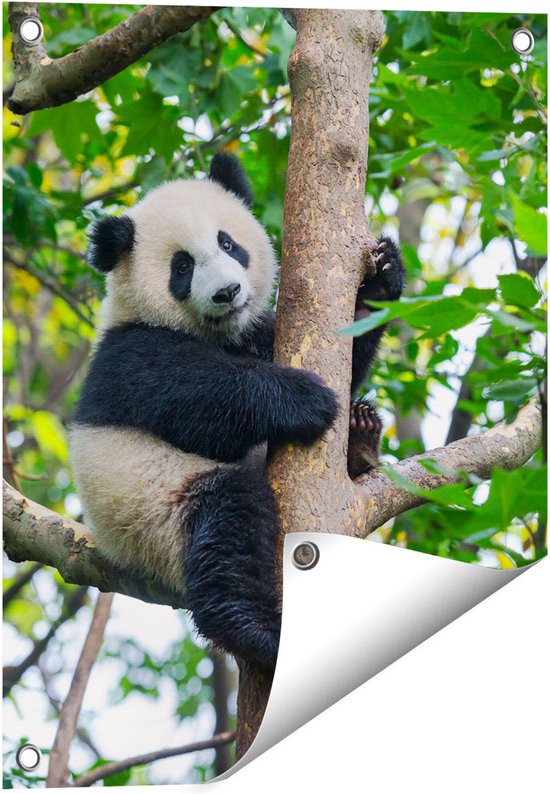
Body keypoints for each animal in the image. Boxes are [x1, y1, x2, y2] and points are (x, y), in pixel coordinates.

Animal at [69, 153, 404, 670]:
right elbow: (200, 403)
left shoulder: (256, 332)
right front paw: (305, 399)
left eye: (228, 243)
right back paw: (258, 632)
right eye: (182, 266)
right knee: (227, 525)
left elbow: (350, 350)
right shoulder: (130, 356)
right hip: (154, 512)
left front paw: (382, 277)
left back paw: (361, 435)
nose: (227, 292)